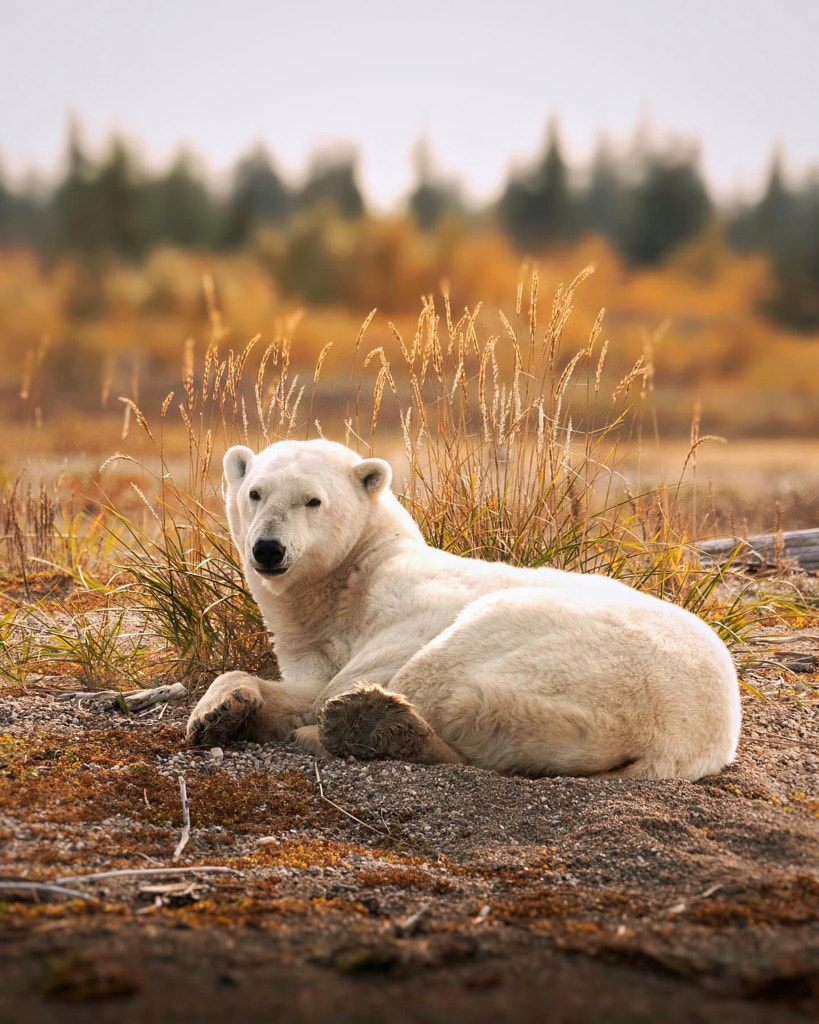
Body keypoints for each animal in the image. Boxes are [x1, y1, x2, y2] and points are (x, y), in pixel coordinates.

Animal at [186, 439, 741, 780]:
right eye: (254, 493)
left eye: (313, 500)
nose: (268, 549)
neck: (352, 575)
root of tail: (677, 743)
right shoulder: (307, 638)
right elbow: (302, 682)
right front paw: (220, 712)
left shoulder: (416, 595)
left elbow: (367, 661)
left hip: (569, 657)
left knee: (445, 674)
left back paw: (366, 723)